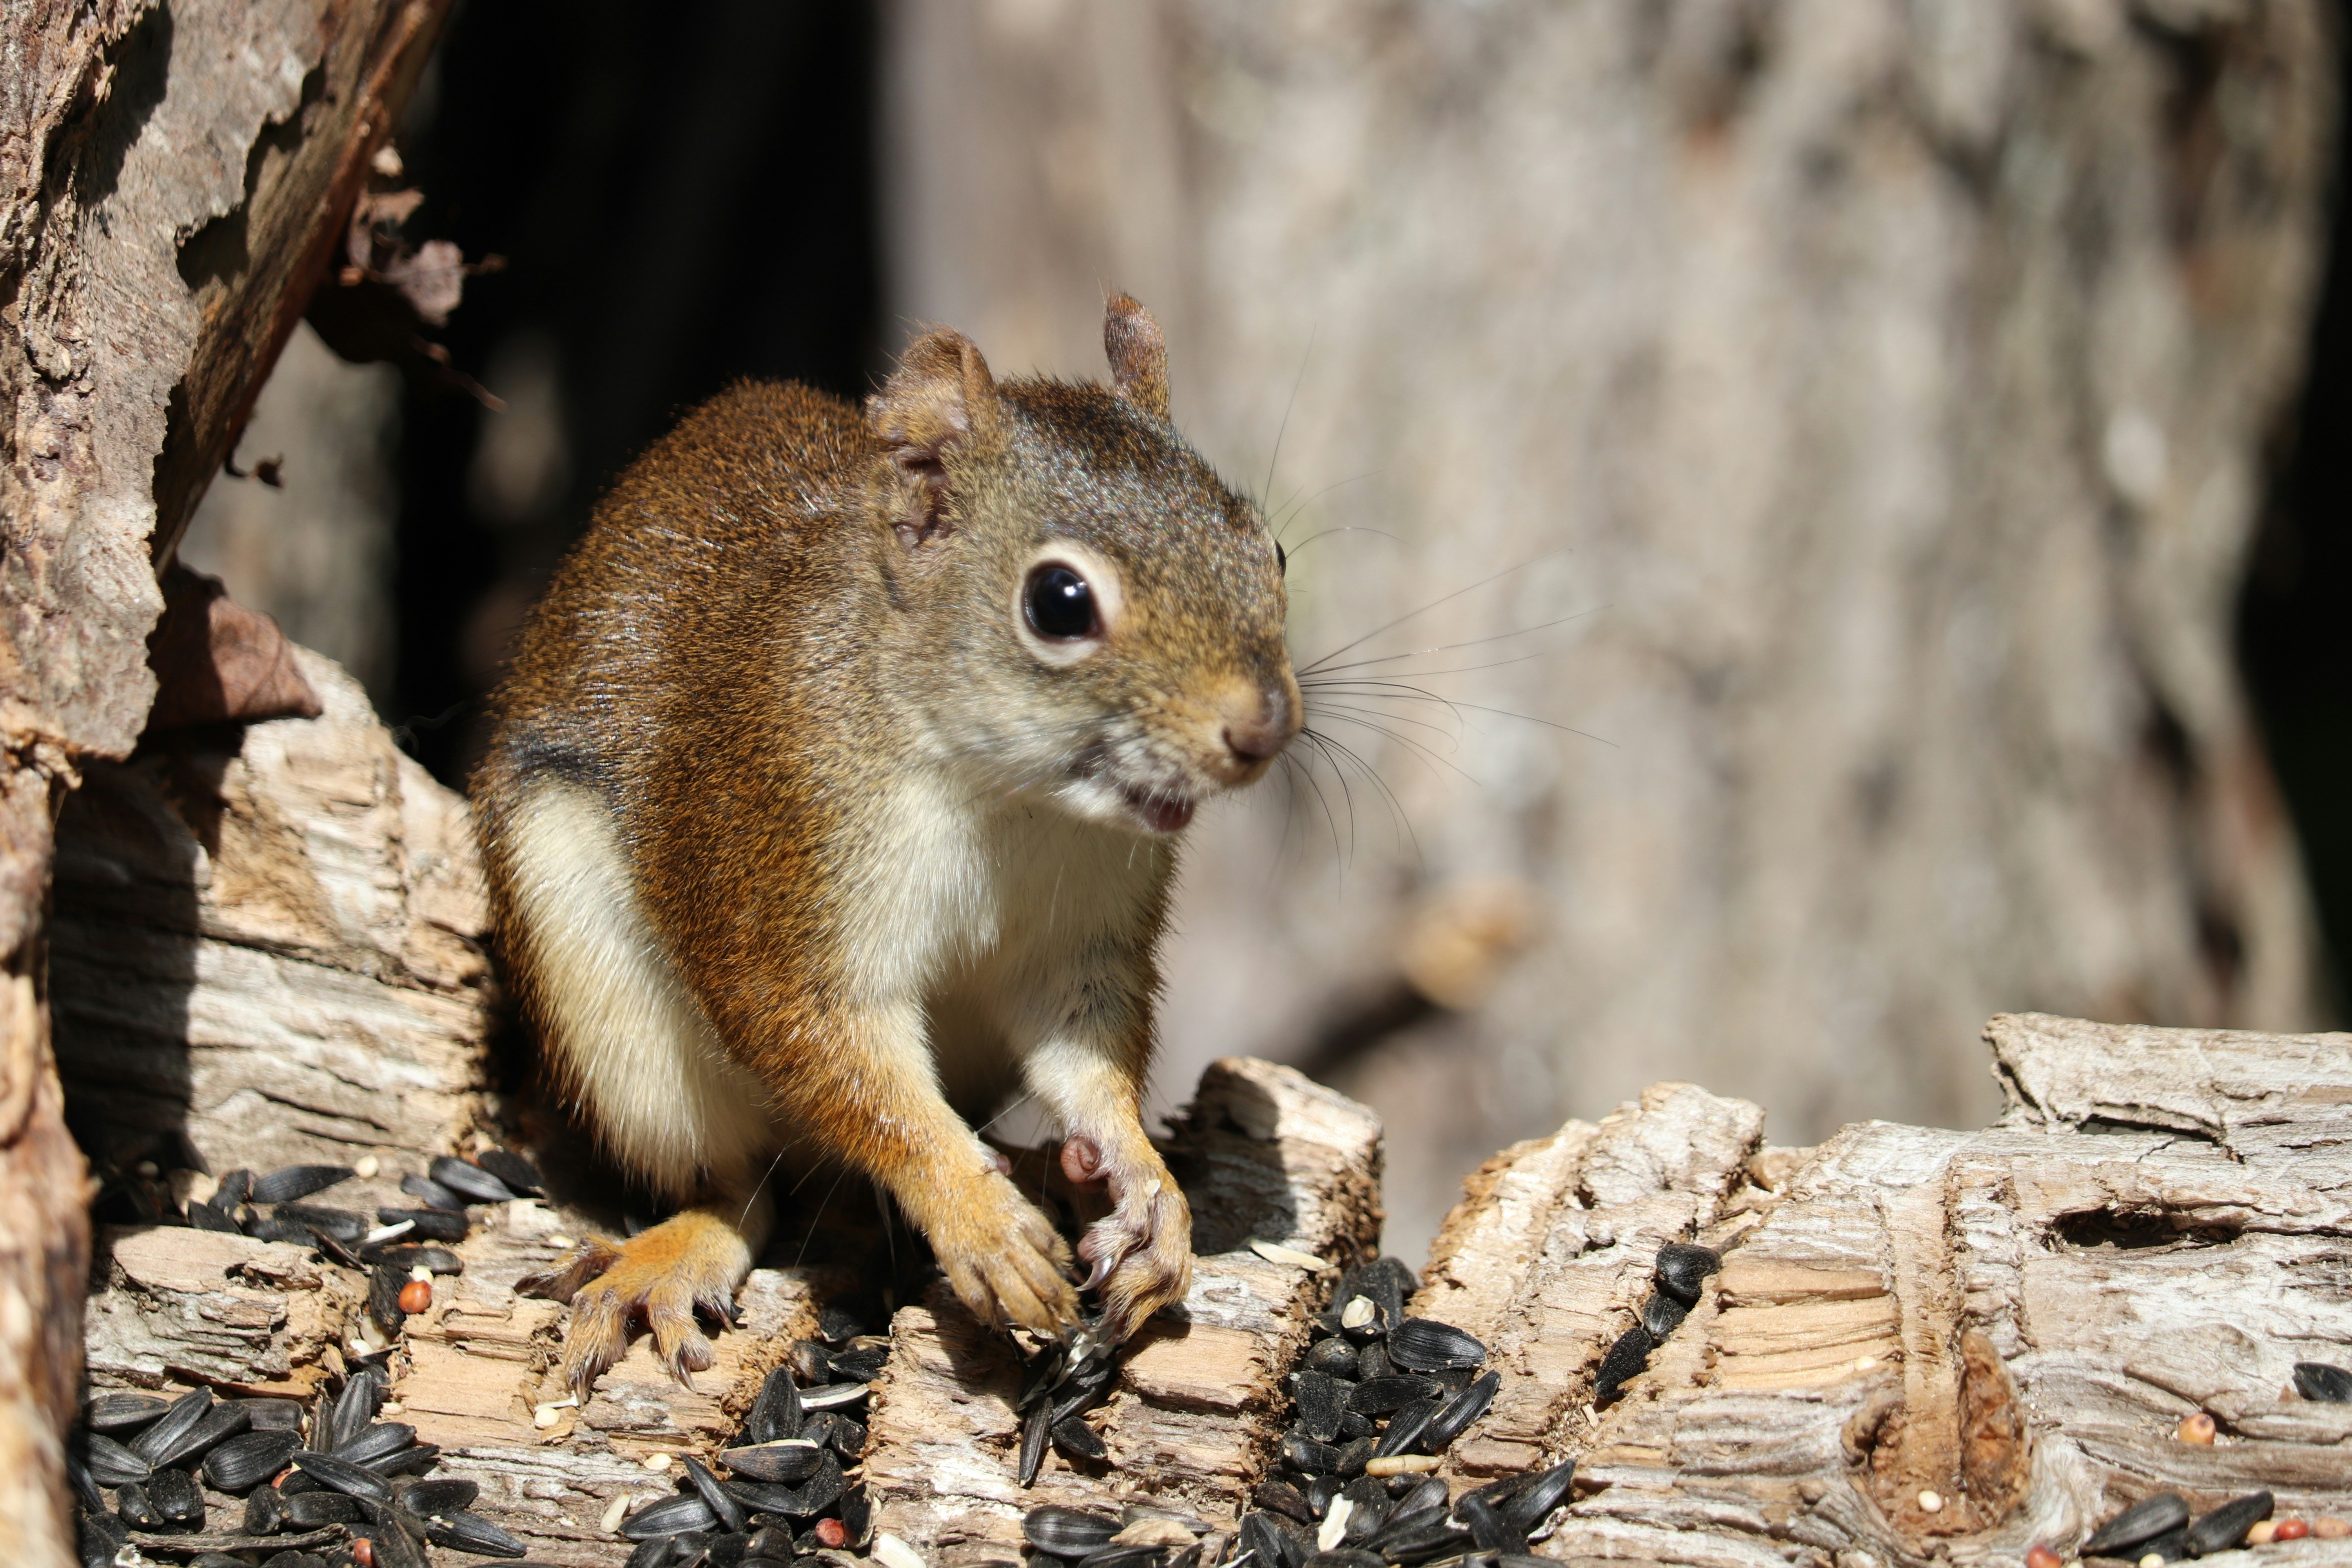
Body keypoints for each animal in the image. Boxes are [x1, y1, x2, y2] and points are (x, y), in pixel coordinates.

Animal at [474, 295, 1301, 1396]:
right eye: (1059, 602)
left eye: (1271, 553)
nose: (1263, 728)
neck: (1012, 801)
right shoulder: (777, 866)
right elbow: (842, 1062)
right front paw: (978, 1216)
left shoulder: (1080, 942)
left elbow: (1088, 1062)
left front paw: (1148, 1191)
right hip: (609, 1013)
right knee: (738, 1185)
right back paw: (680, 1250)